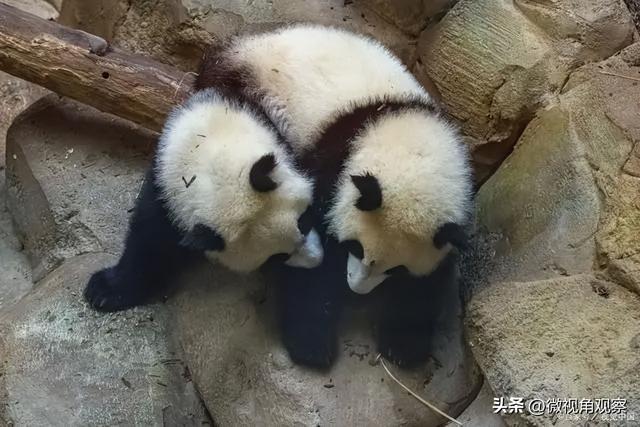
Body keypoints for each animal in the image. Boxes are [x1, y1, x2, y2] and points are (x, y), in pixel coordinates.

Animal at [84, 88, 323, 312]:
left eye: (303, 221)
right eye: (276, 258)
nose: (317, 260)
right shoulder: (165, 190)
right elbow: (150, 242)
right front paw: (103, 290)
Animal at [196, 25, 473, 367]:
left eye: (396, 269)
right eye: (355, 246)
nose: (357, 288)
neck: (408, 138)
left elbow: (426, 282)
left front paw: (403, 347)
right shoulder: (331, 164)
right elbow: (313, 259)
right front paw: (311, 344)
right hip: (248, 89)